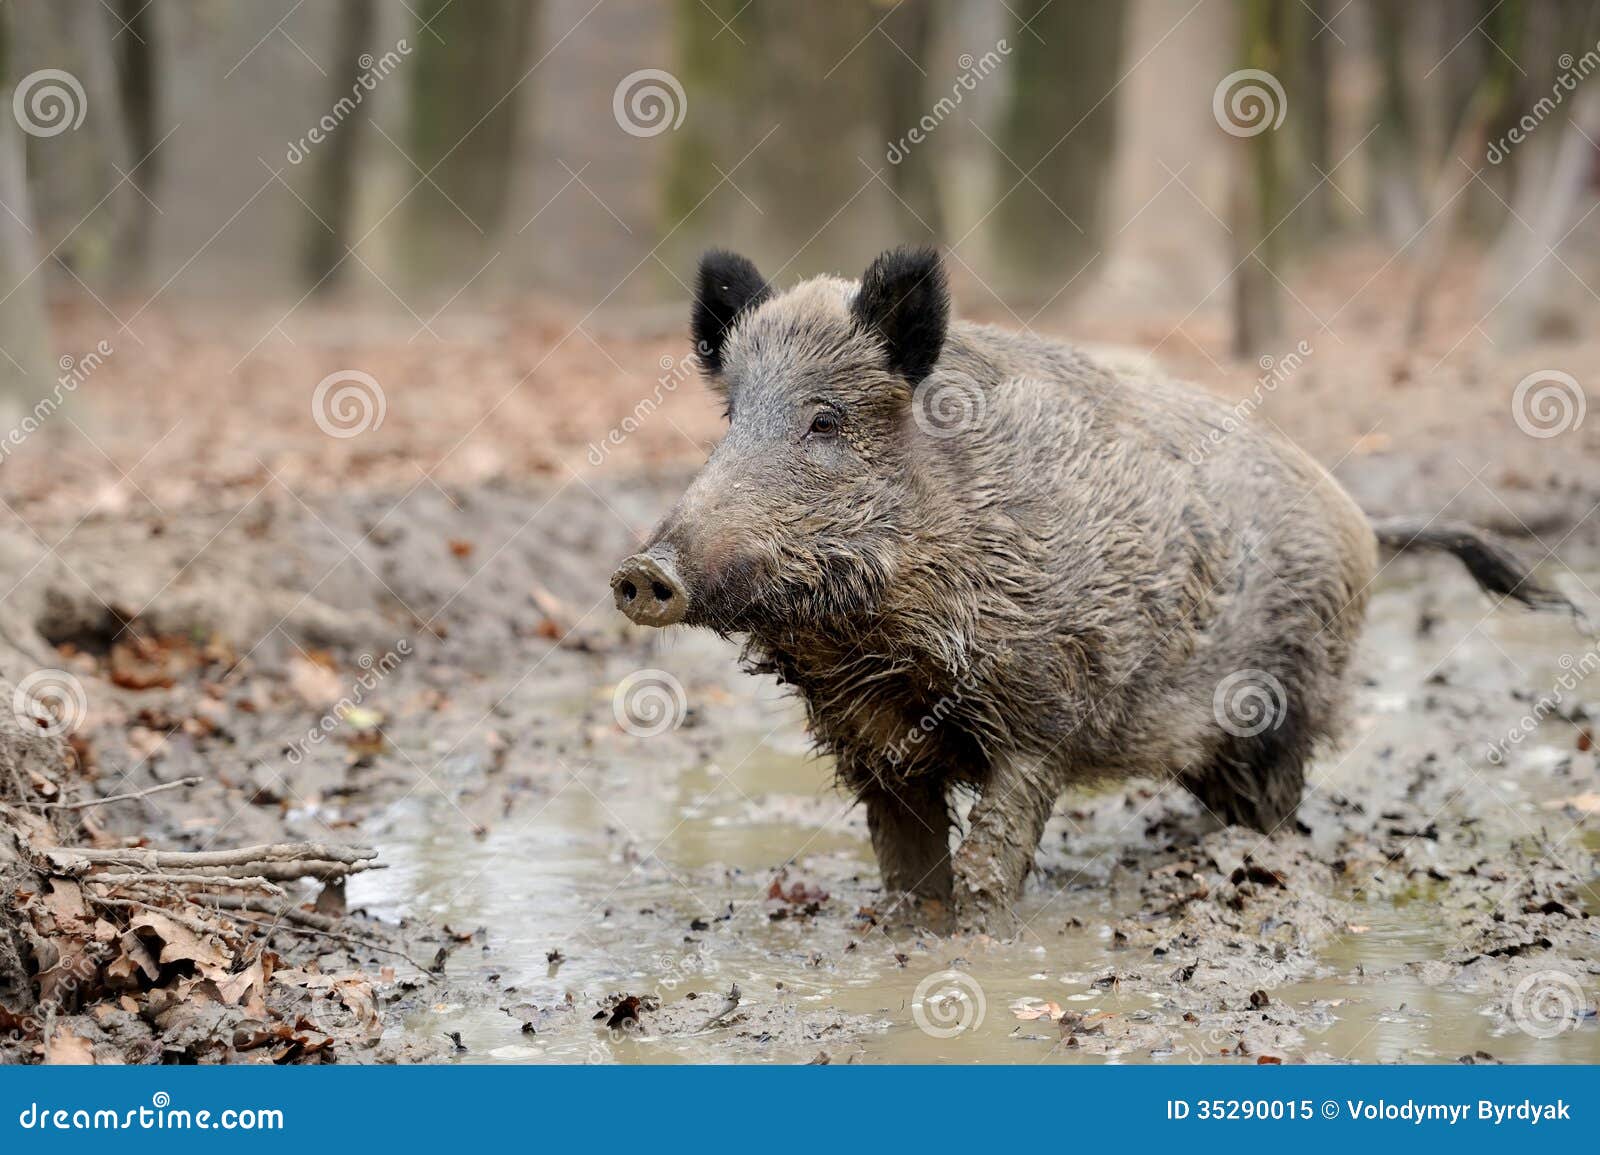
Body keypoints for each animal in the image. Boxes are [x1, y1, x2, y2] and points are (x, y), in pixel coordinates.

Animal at [611, 246, 1572, 933]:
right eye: (731, 418)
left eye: (824, 420)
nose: (642, 572)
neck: (877, 646)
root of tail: (1363, 520)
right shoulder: (872, 745)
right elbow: (909, 874)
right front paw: (913, 938)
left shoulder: (1042, 709)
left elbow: (991, 863)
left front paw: (983, 944)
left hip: (1287, 702)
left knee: (1280, 802)